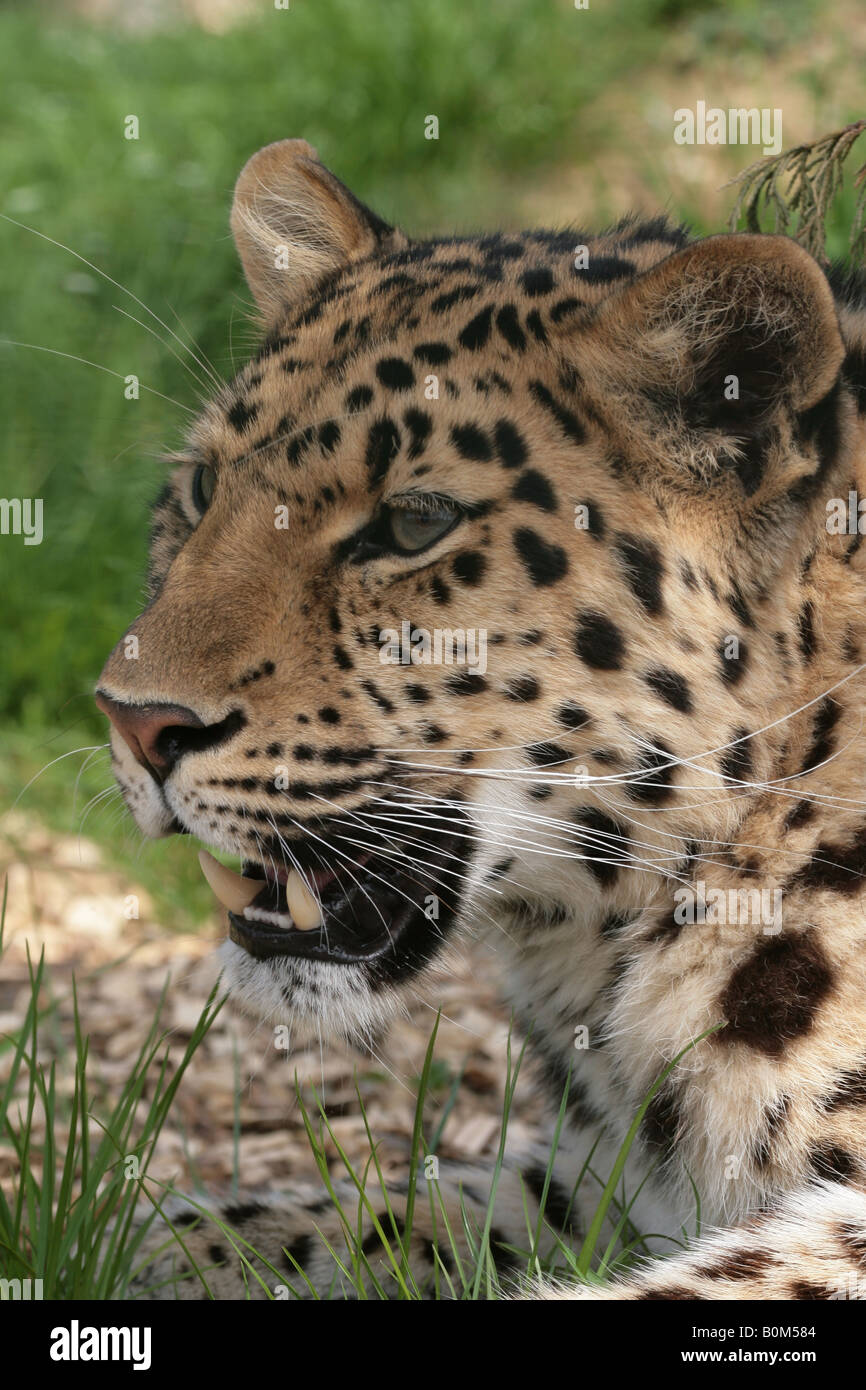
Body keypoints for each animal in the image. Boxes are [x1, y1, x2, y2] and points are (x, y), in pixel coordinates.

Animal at [94, 138, 866, 1300]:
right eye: (200, 489)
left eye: (414, 523)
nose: (133, 723)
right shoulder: (601, 1186)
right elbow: (369, 1214)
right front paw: (131, 1243)